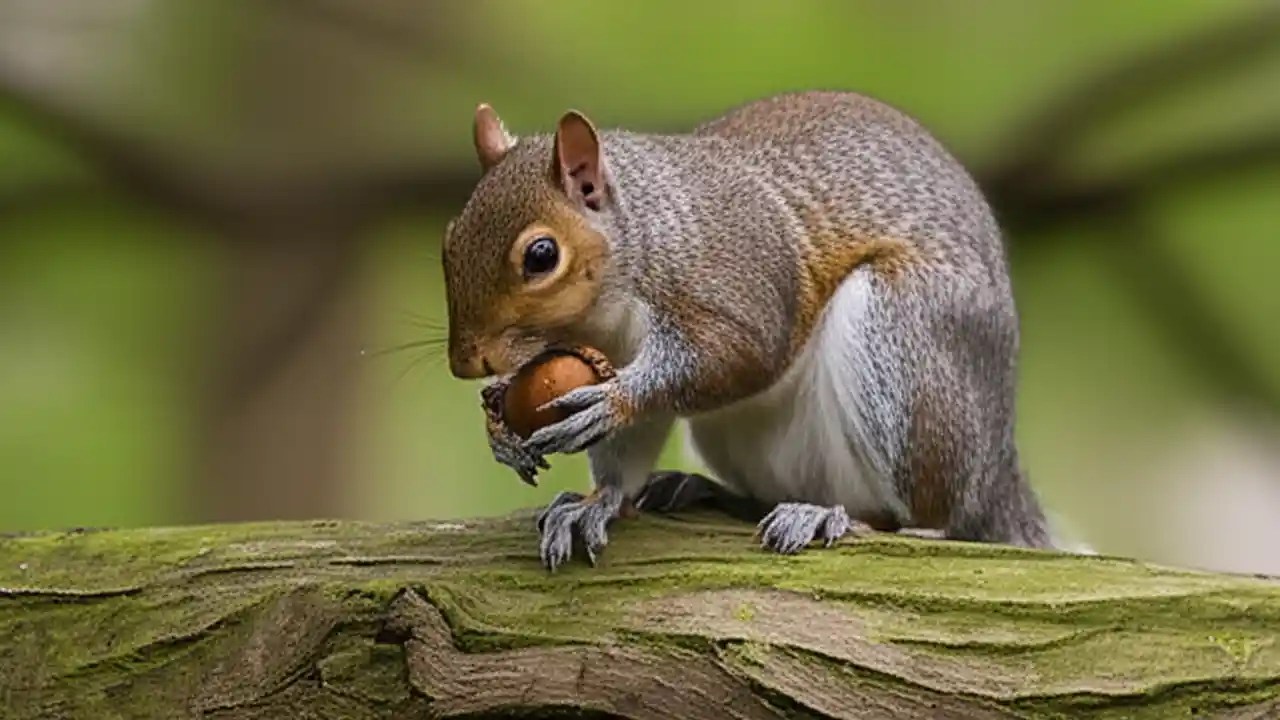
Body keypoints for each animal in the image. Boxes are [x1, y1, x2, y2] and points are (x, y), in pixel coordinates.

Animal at [442, 90, 1062, 571]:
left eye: (541, 255)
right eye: (449, 241)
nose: (465, 362)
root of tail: (996, 464)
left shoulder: (736, 283)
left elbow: (736, 355)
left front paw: (614, 400)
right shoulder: (607, 350)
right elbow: (624, 456)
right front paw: (584, 489)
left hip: (901, 345)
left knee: (934, 520)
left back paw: (834, 517)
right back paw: (705, 490)